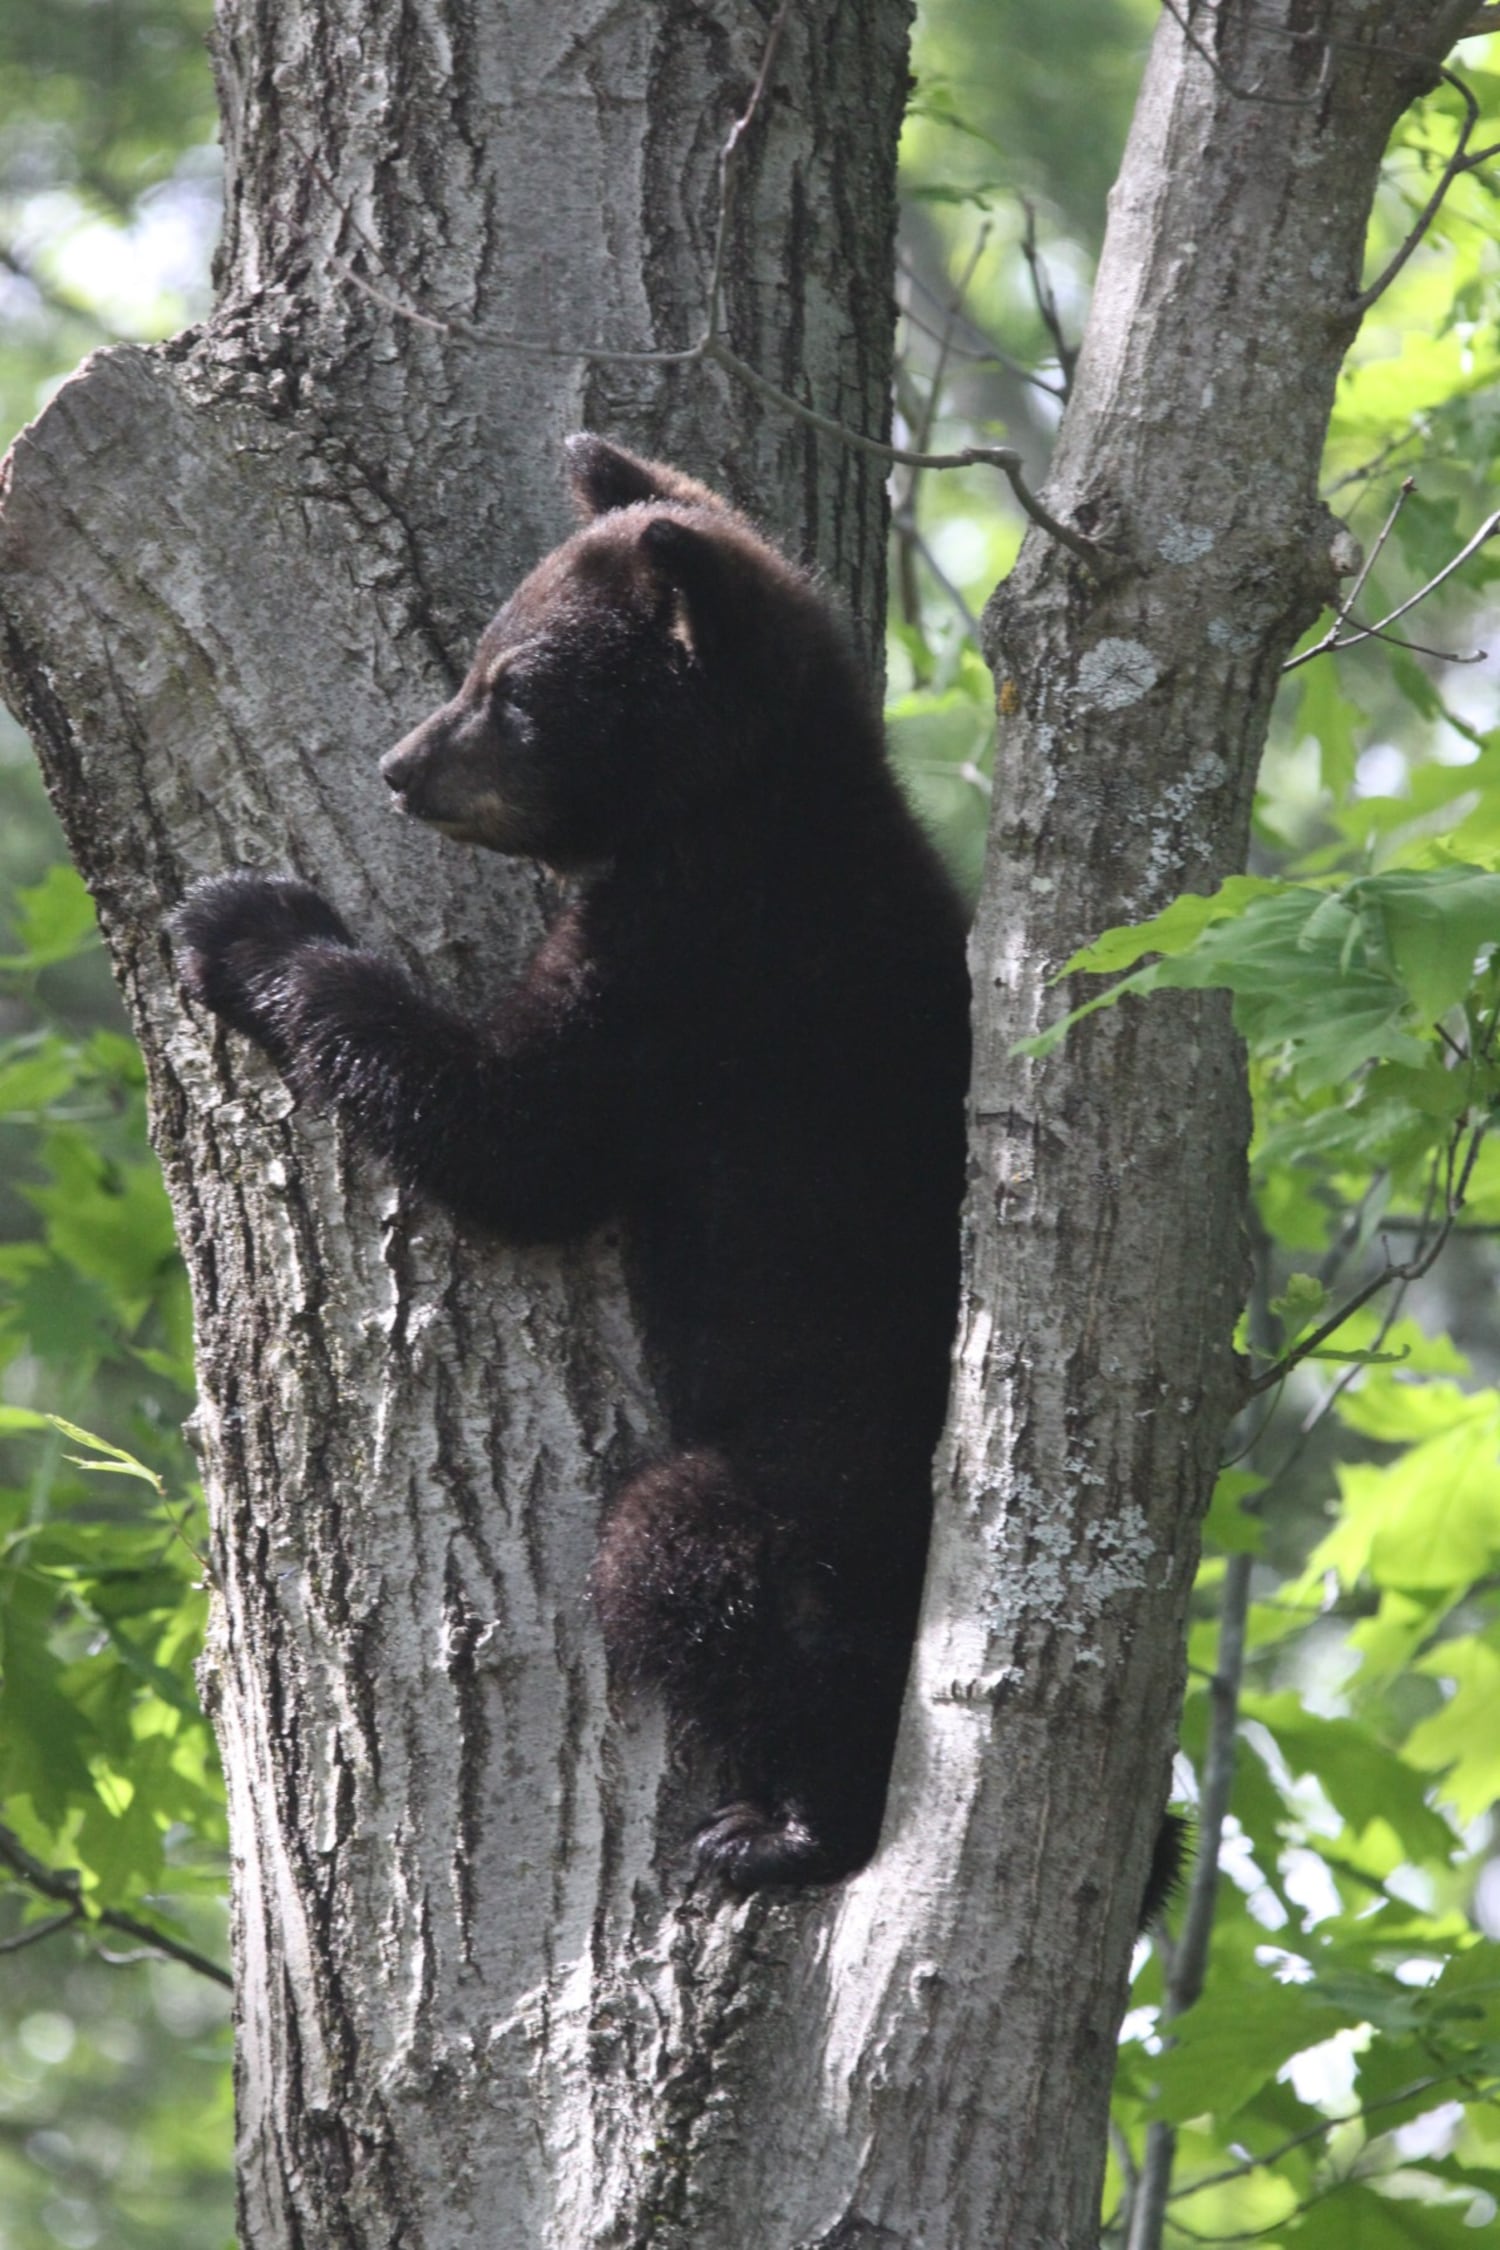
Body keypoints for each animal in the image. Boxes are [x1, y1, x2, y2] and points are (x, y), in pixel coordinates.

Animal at [173, 434, 972, 1891]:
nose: (400, 764)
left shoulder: (687, 969)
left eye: (514, 690)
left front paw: (247, 920)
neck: (749, 803)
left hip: (812, 1470)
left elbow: (518, 1131)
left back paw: (788, 1820)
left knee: (698, 1569)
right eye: (482, 656)